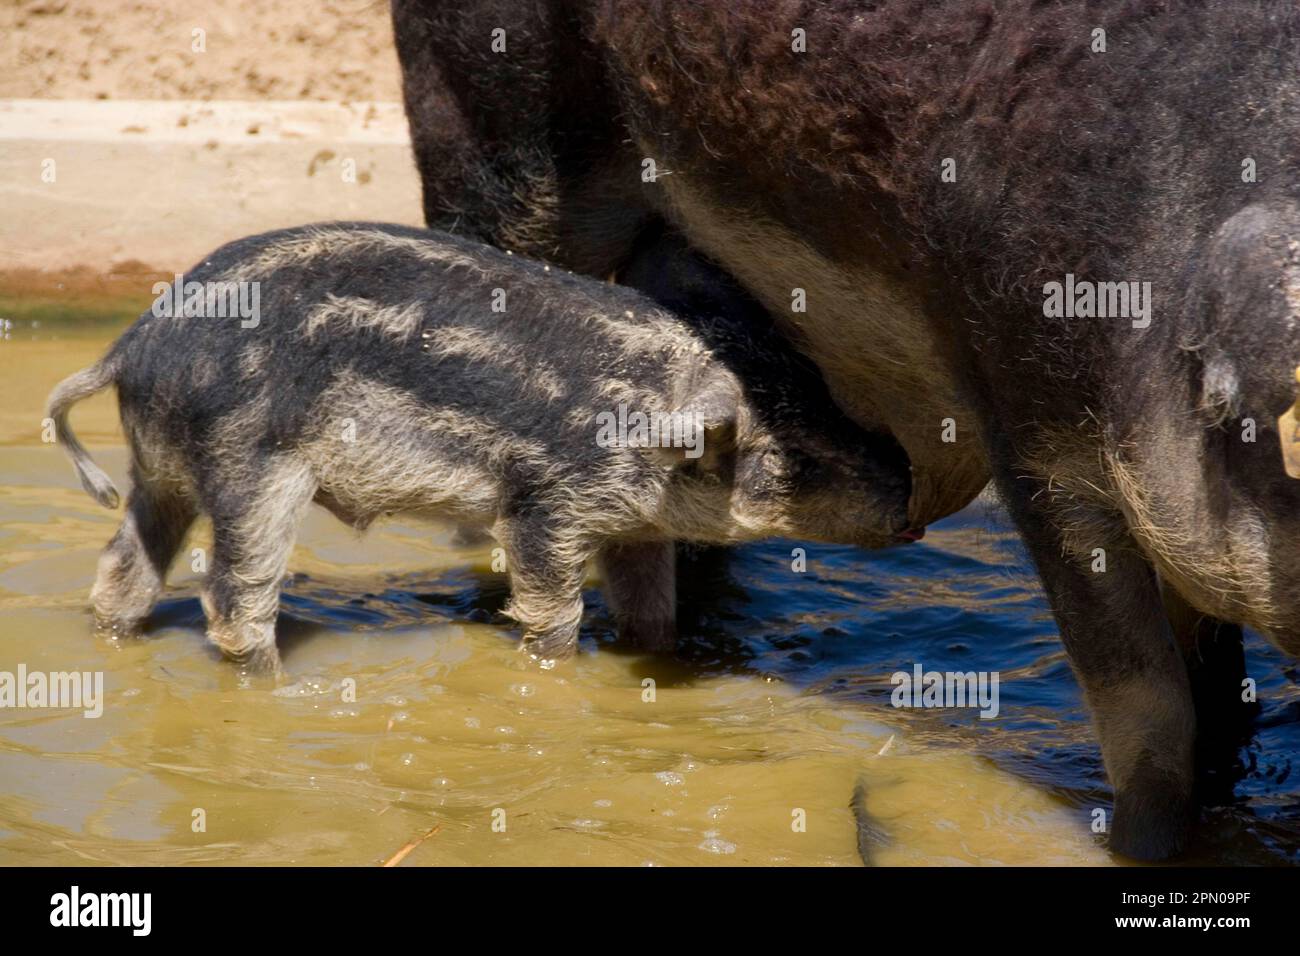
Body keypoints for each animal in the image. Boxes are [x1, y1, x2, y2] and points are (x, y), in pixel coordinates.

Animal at [47, 222, 915, 674]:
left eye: (840, 413)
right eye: (794, 456)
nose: (912, 497)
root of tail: (133, 345)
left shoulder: (634, 526)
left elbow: (652, 607)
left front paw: (654, 653)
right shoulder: (544, 503)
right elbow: (551, 609)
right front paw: (556, 664)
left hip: (159, 474)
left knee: (123, 566)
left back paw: (117, 635)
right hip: (251, 469)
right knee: (232, 598)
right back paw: (269, 675)